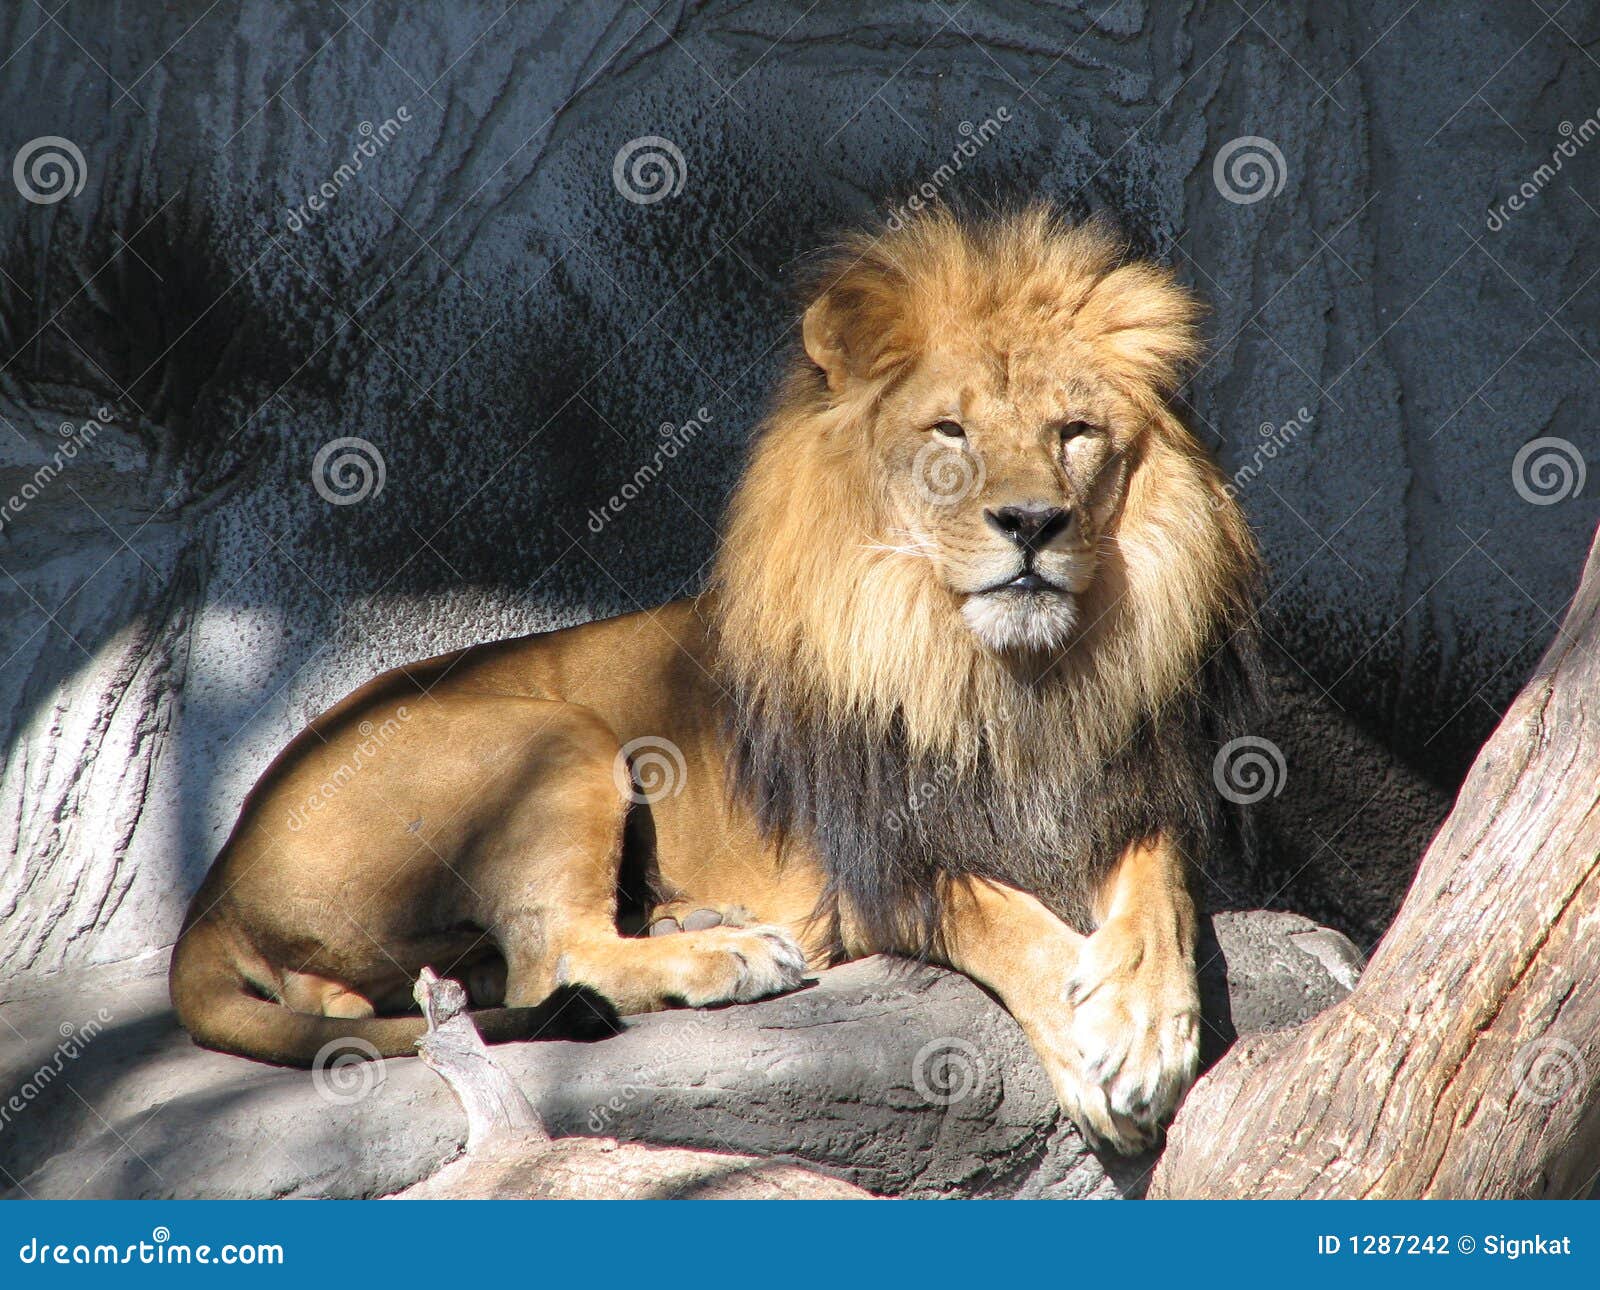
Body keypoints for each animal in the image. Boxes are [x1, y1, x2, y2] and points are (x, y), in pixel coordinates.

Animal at [170, 206, 1262, 1153]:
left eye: (1074, 431)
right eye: (949, 432)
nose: (1033, 522)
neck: (995, 671)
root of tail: (213, 885)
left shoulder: (1121, 789)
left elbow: (1160, 892)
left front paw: (1141, 1022)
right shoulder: (875, 863)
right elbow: (1002, 920)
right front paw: (1087, 1040)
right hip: (549, 732)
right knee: (549, 958)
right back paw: (730, 954)